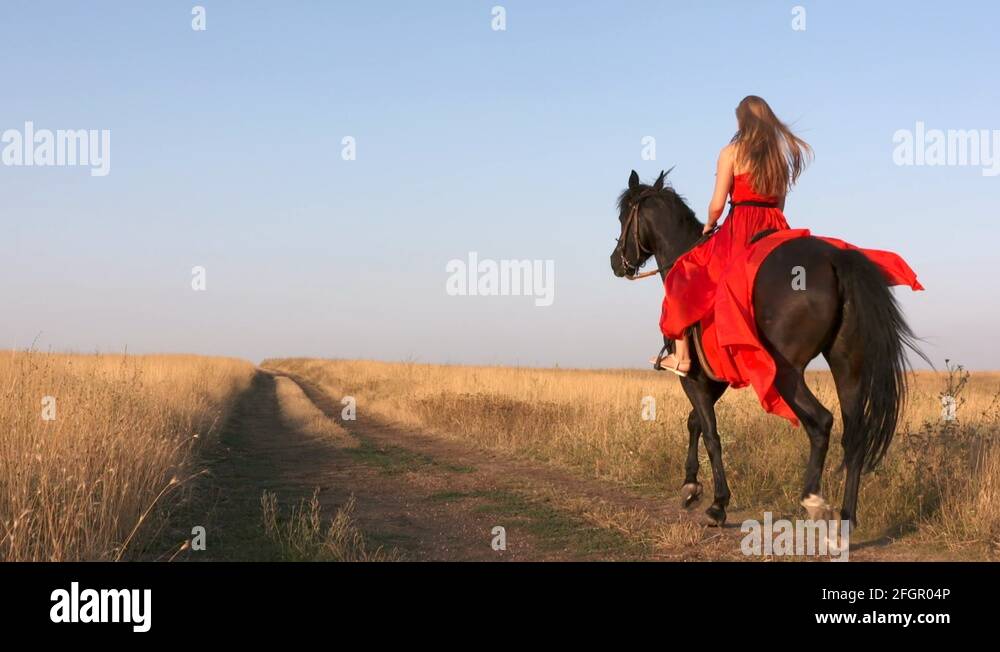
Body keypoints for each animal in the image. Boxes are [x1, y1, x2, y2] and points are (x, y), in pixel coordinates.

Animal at [609, 169, 924, 530]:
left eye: (623, 216)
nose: (616, 263)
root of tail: (836, 259)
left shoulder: (693, 378)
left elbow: (711, 433)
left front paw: (717, 503)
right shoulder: (716, 379)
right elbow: (695, 423)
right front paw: (691, 486)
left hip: (787, 373)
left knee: (821, 423)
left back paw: (813, 502)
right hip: (848, 370)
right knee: (854, 435)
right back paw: (845, 521)